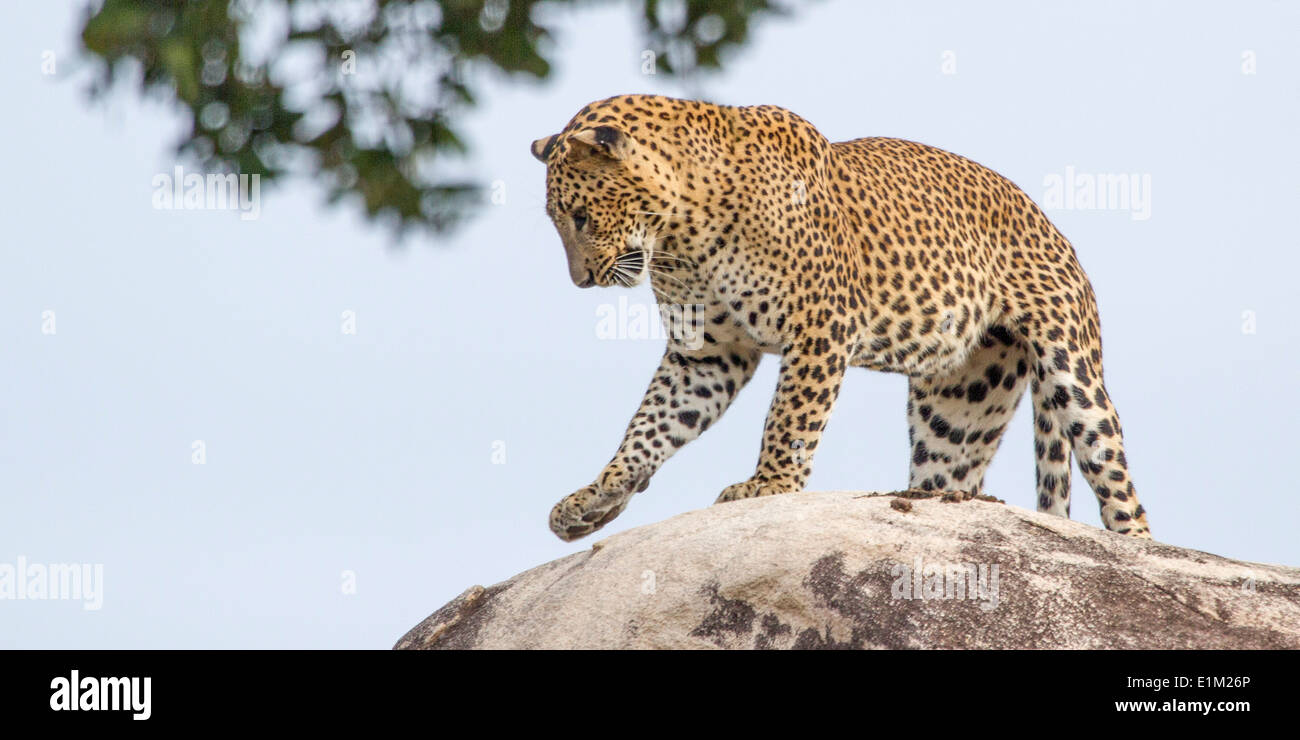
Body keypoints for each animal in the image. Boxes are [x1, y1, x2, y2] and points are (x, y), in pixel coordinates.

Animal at [530, 94, 1151, 543]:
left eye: (580, 217)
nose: (582, 280)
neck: (681, 231)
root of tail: (1051, 225)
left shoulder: (821, 326)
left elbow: (789, 418)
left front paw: (769, 484)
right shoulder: (705, 354)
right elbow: (650, 425)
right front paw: (594, 497)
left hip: (1072, 369)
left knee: (1118, 481)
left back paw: (1136, 546)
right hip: (959, 405)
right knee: (949, 468)